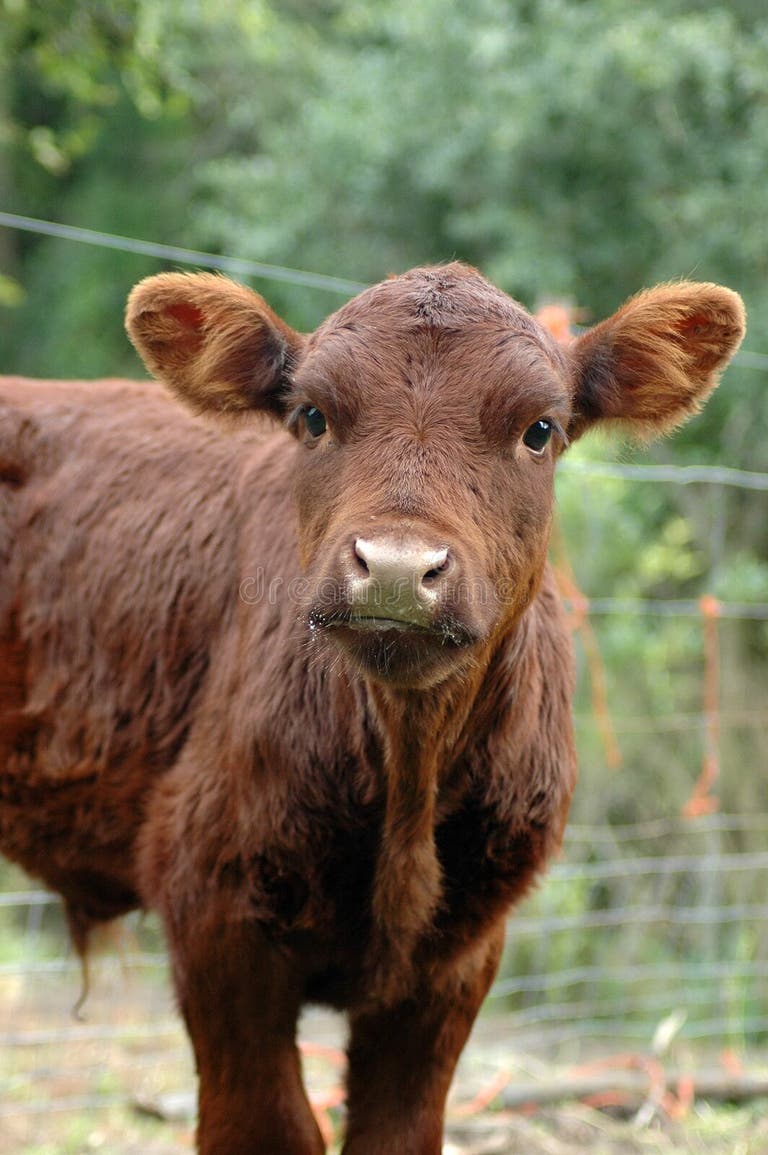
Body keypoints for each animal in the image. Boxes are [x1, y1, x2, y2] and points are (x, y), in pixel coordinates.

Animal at [0, 263, 744, 1154]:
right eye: (313, 417)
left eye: (540, 429)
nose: (395, 567)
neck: (407, 788)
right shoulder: (216, 913)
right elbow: (270, 1128)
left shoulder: (459, 955)